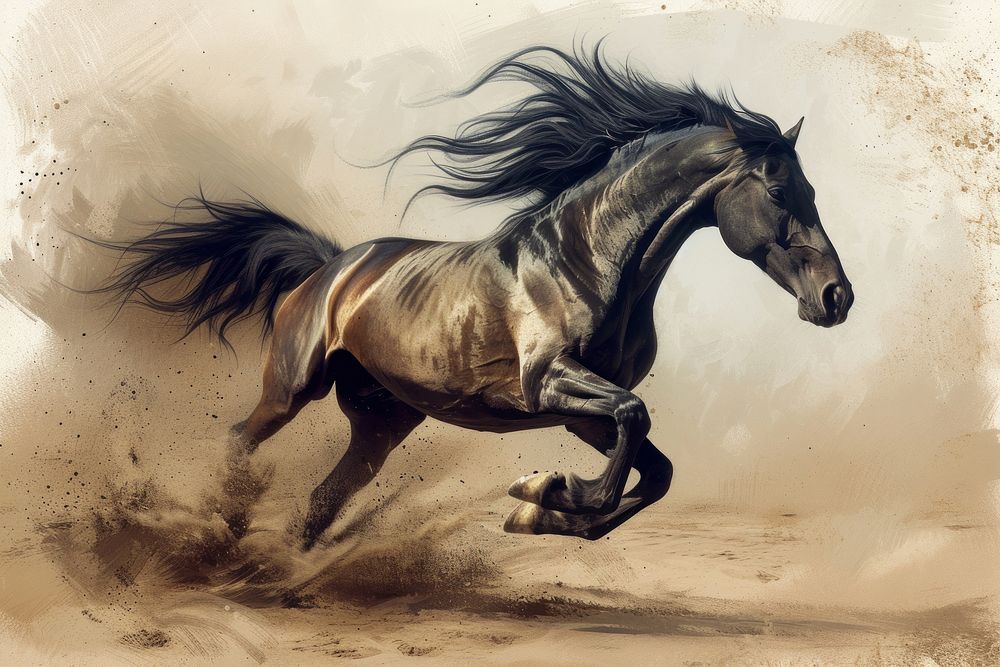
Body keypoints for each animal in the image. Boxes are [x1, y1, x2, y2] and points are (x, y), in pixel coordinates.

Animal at [93, 45, 854, 550]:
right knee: (240, 439)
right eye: (780, 190)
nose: (837, 297)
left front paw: (546, 507)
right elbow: (634, 425)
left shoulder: (577, 409)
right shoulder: (552, 383)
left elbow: (653, 468)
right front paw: (542, 491)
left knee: (324, 497)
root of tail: (331, 267)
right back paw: (222, 527)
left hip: (383, 420)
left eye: (813, 190)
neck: (584, 260)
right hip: (293, 386)